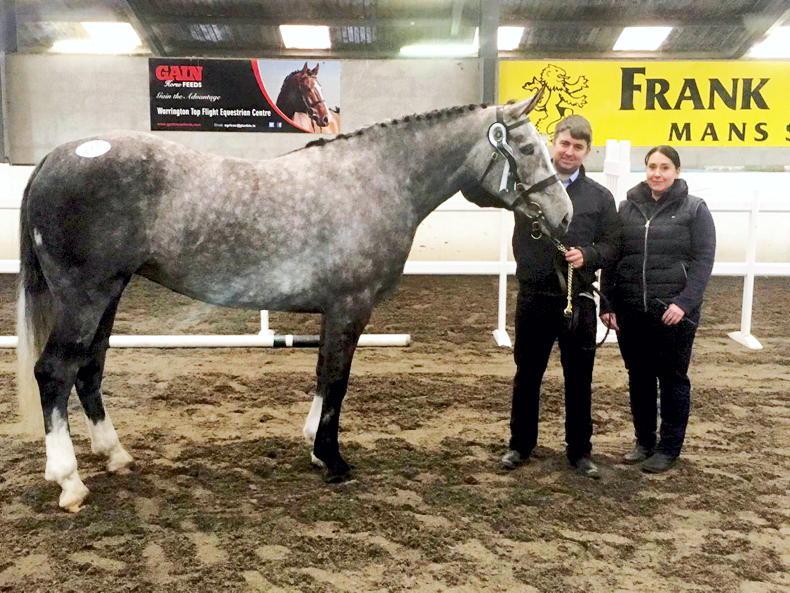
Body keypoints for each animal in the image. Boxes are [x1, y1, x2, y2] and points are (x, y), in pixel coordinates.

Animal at [16, 91, 572, 512]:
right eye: (526, 147)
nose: (564, 215)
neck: (375, 181)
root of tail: (52, 158)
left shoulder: (335, 311)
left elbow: (324, 375)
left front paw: (314, 448)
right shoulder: (350, 306)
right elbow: (337, 378)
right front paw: (333, 460)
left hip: (109, 295)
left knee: (89, 370)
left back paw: (115, 455)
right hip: (85, 298)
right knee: (55, 372)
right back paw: (69, 481)